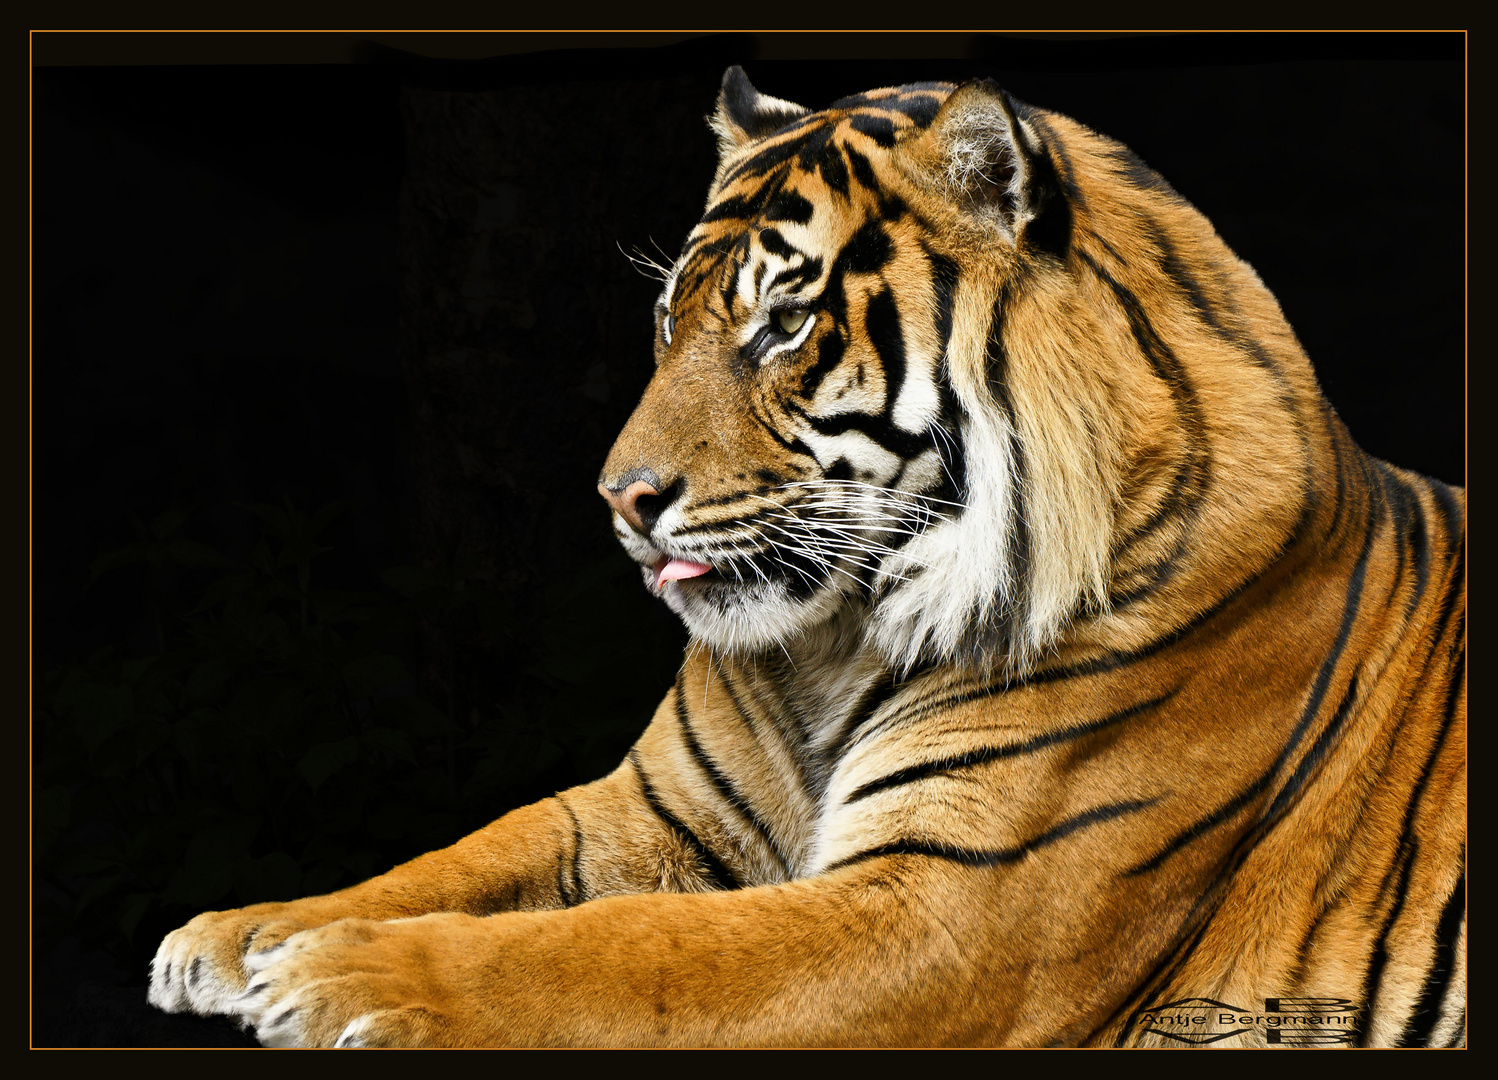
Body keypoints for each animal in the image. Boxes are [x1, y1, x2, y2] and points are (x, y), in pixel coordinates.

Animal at [147, 67, 1465, 1048]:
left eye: (783, 324)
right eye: (668, 322)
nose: (619, 500)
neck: (830, 645)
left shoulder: (952, 908)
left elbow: (626, 951)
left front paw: (337, 979)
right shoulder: (653, 816)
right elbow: (472, 849)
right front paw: (244, 934)